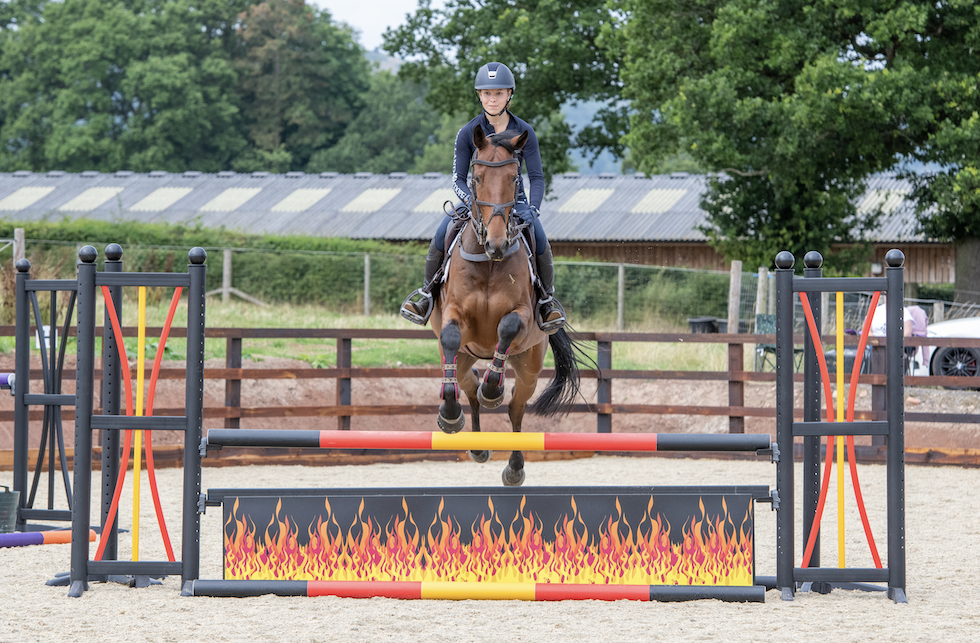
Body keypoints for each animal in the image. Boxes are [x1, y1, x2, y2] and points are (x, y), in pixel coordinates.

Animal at [430, 127, 587, 486]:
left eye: (515, 178)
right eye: (476, 177)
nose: (497, 243)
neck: (489, 262)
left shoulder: (523, 317)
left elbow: (507, 327)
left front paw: (493, 390)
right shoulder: (454, 315)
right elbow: (450, 337)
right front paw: (449, 415)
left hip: (529, 363)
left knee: (515, 406)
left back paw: (513, 465)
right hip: (465, 356)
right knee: (466, 382)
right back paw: (472, 440)